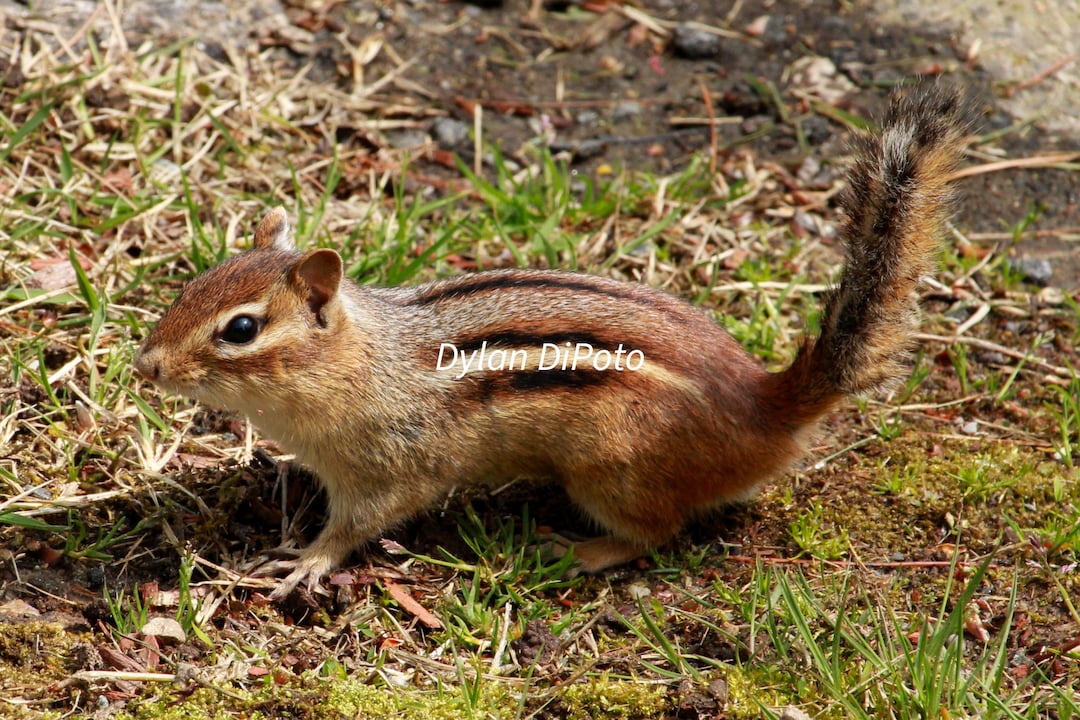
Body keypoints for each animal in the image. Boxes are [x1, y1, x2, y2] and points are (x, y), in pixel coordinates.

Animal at [135, 84, 972, 599]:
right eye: (194, 282)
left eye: (241, 329)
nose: (145, 366)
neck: (357, 364)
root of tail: (766, 402)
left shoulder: (393, 465)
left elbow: (360, 523)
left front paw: (307, 560)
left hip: (608, 467)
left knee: (658, 532)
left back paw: (579, 551)